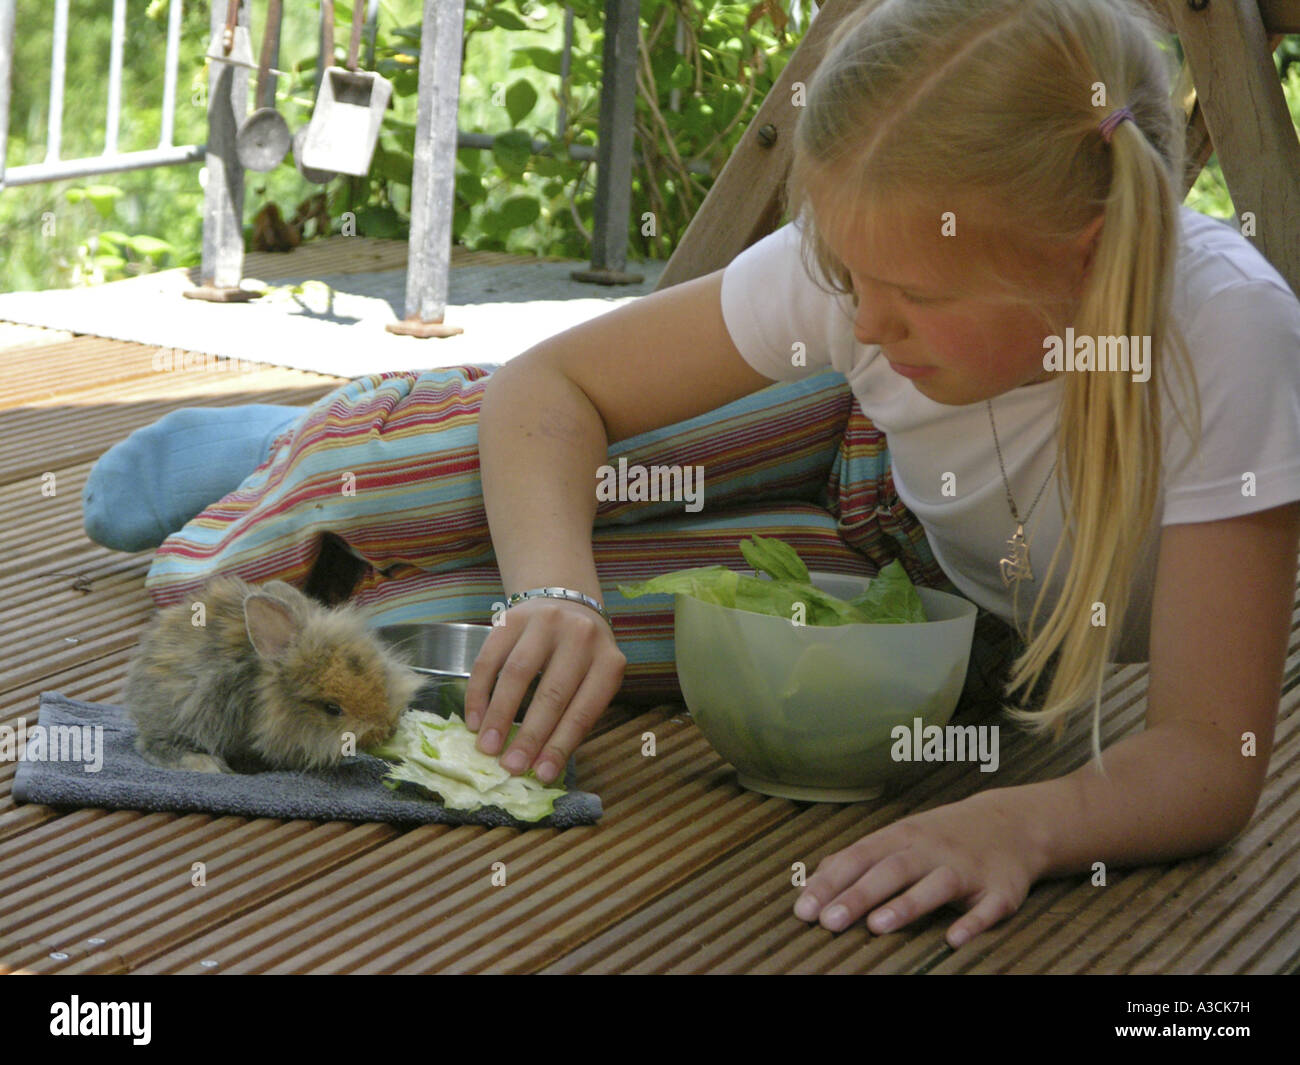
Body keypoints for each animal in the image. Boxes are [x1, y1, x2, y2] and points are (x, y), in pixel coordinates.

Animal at [122, 575, 427, 774]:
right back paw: (207, 765)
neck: (263, 692)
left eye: (382, 678)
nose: (387, 730)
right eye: (332, 709)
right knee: (152, 745)